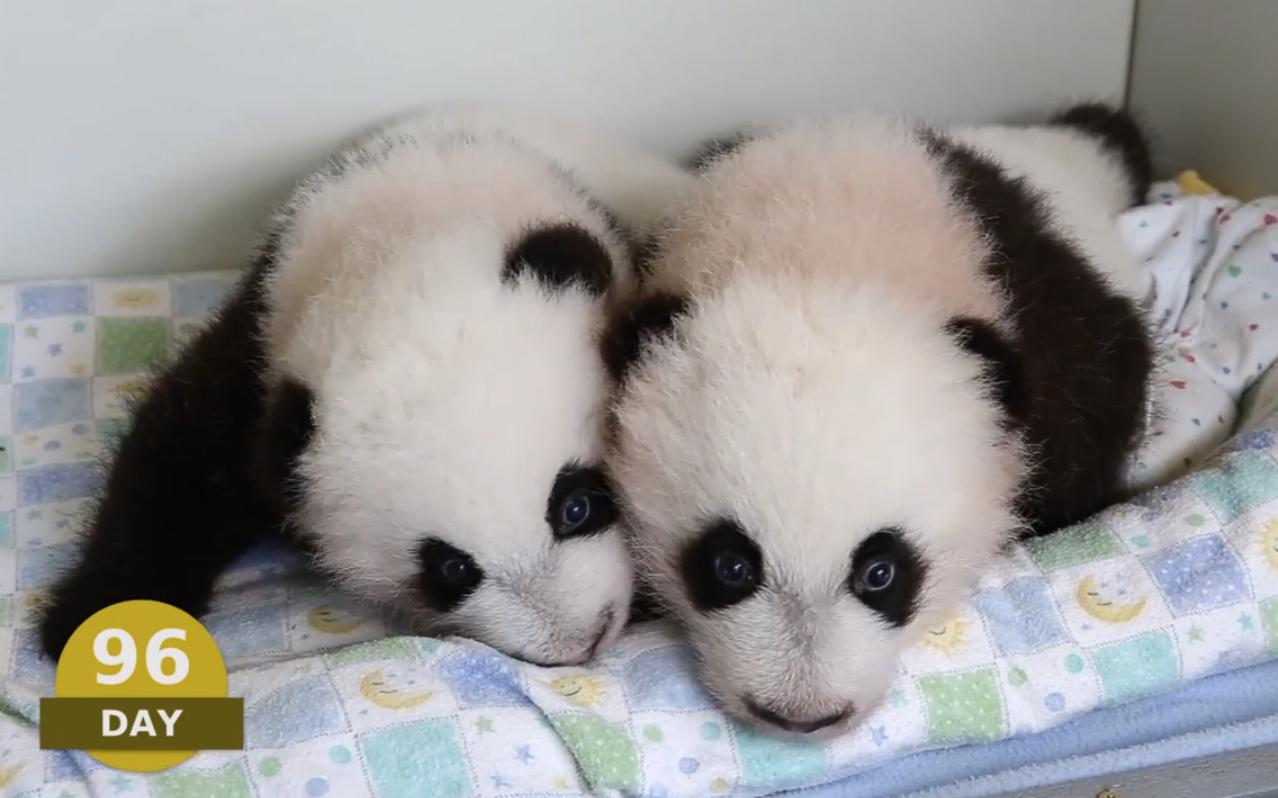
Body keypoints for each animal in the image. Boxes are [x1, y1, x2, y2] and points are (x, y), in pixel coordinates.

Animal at [39, 105, 695, 666]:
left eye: (576, 503)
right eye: (450, 570)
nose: (579, 640)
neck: (399, 235)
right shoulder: (263, 341)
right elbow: (183, 458)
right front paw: (101, 620)